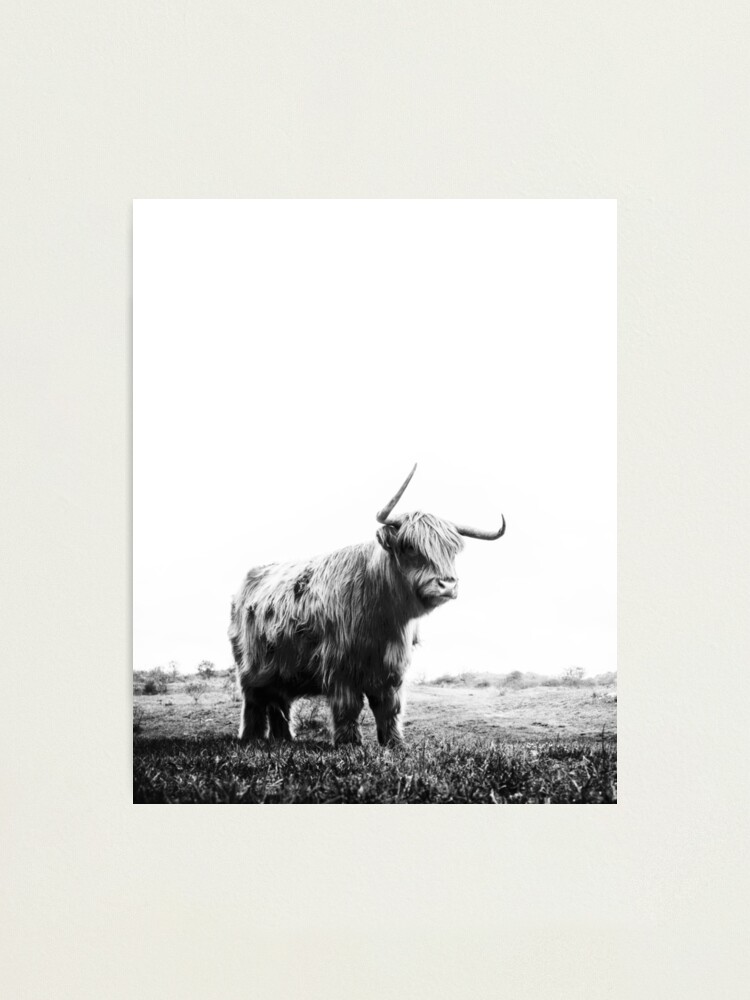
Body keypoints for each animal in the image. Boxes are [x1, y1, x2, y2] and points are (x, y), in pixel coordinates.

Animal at [228, 464, 505, 747]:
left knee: (279, 702)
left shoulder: (393, 667)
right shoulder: (340, 663)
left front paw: (394, 742)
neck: (384, 618)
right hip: (250, 666)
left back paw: (283, 739)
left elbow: (389, 707)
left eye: (451, 551)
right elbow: (348, 705)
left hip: (280, 668)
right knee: (254, 701)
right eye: (409, 547)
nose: (447, 585)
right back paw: (251, 738)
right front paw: (349, 742)